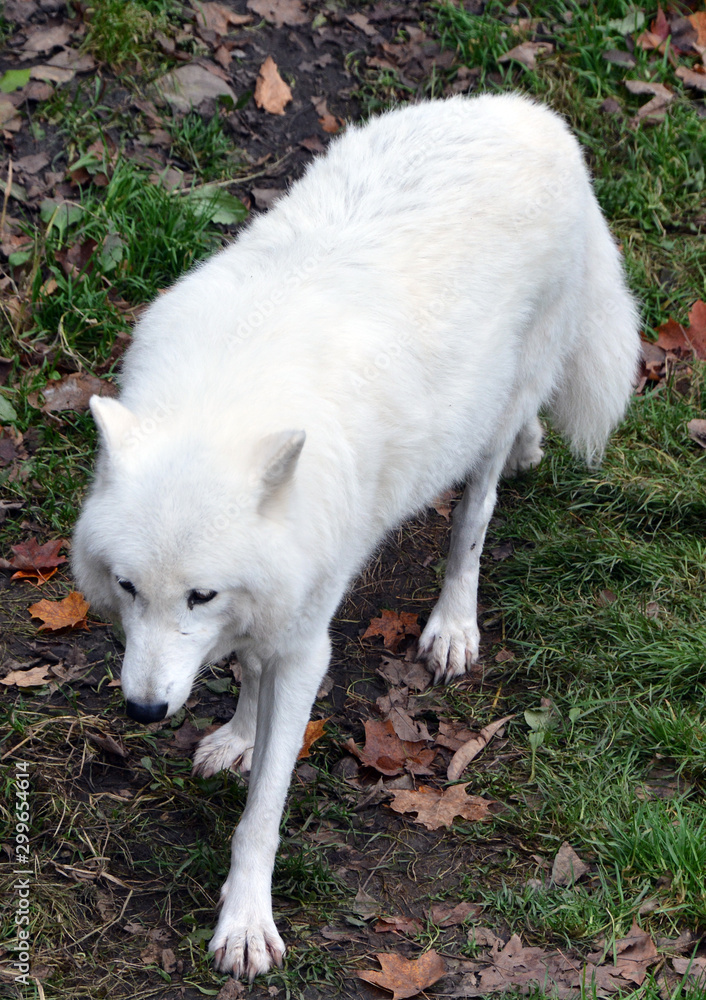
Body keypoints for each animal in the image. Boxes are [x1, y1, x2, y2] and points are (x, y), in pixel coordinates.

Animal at [73, 93, 640, 979]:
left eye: (199, 594)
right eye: (128, 588)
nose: (144, 710)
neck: (225, 403)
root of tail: (533, 113)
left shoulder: (308, 634)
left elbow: (263, 809)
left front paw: (245, 922)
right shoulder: (277, 594)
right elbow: (246, 670)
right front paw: (237, 734)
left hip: (491, 423)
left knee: (473, 521)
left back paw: (452, 626)